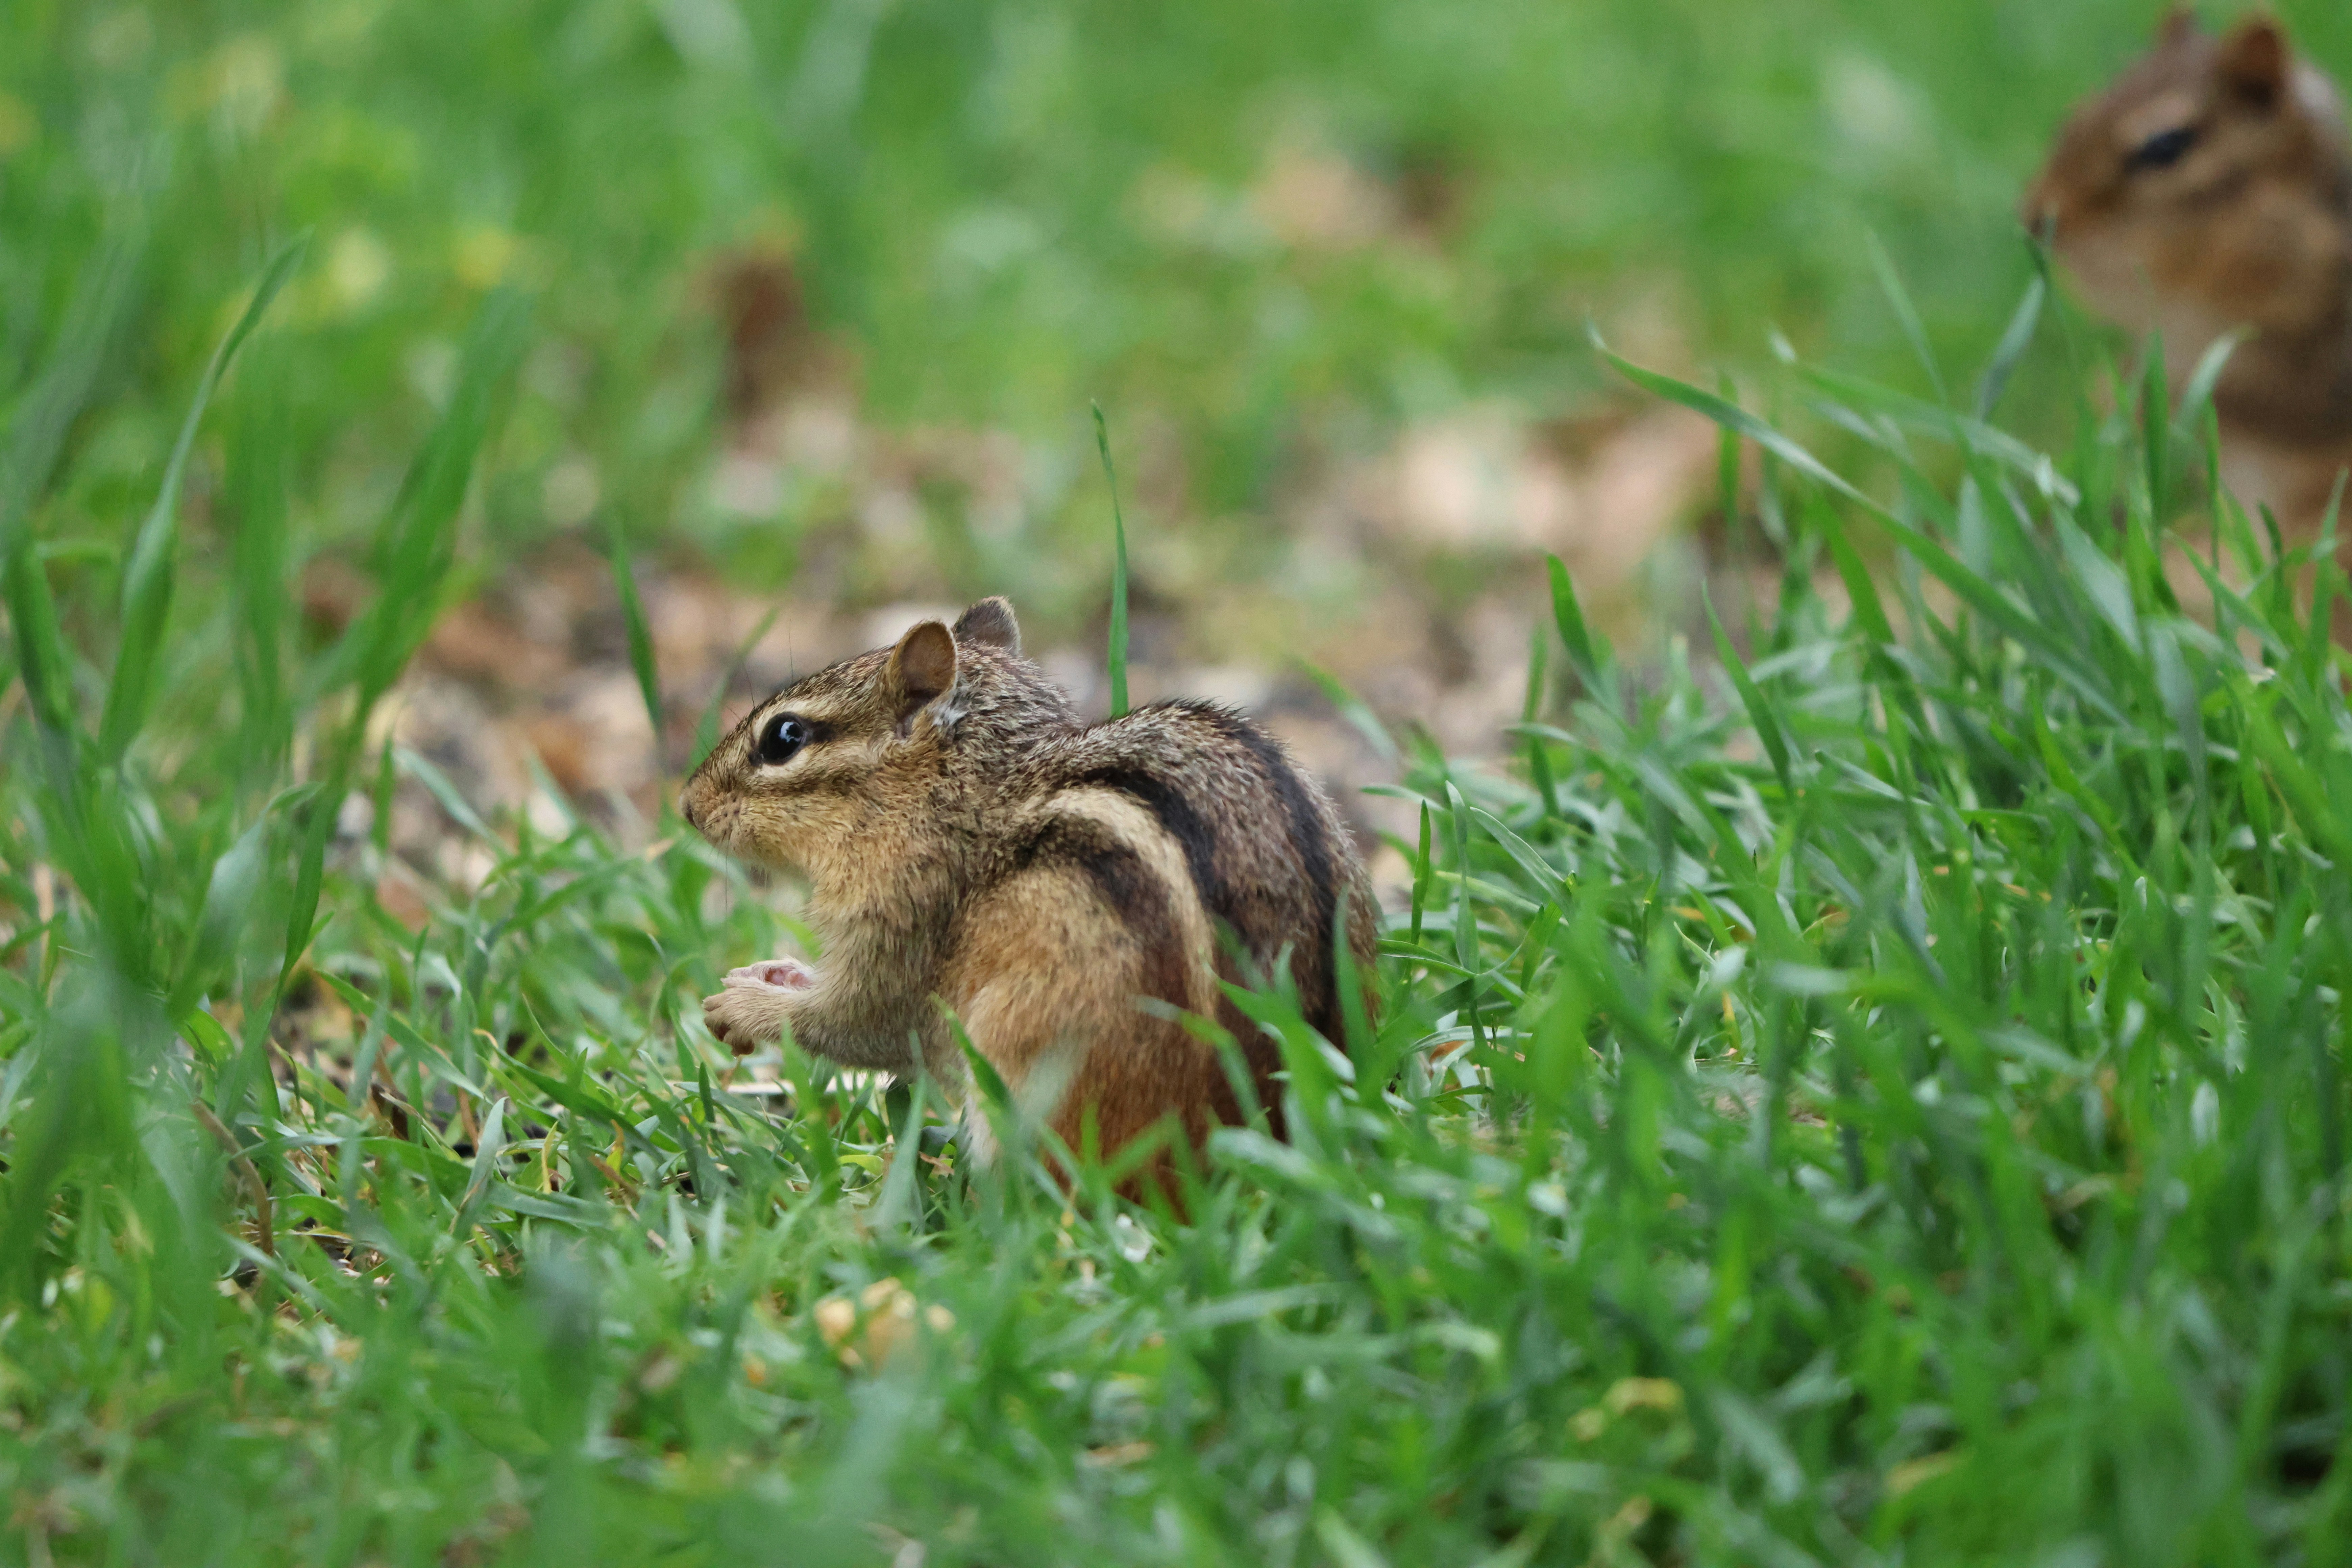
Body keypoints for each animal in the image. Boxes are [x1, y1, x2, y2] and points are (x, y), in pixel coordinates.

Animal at [676, 597, 1379, 1172]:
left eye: (784, 737)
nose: (687, 805)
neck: (958, 798)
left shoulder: (904, 929)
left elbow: (861, 1023)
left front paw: (747, 1008)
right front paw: (768, 974)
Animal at [2023, 10, 2352, 634]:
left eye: (2165, 145)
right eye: (2071, 116)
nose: (2034, 216)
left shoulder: (2310, 369)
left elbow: (2263, 403)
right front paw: (2113, 395)